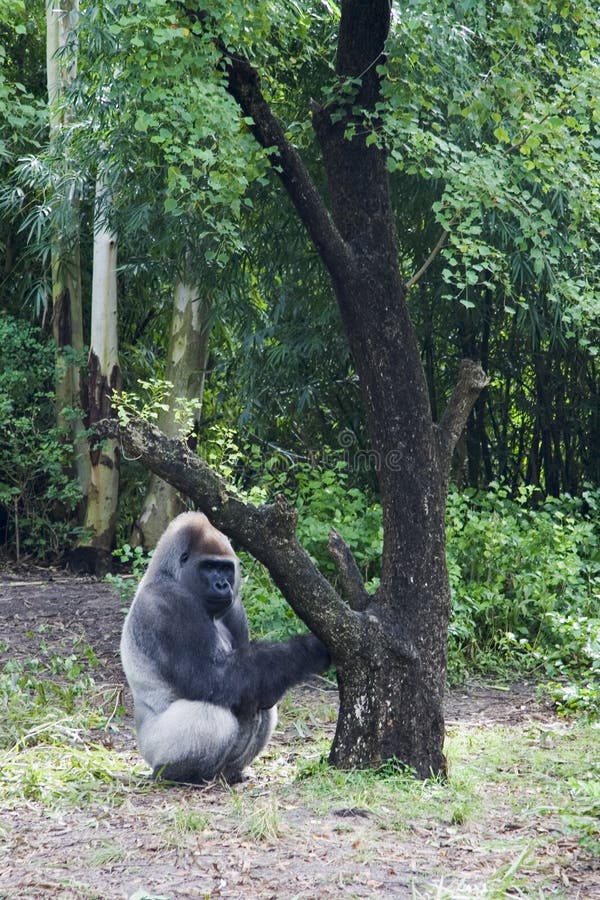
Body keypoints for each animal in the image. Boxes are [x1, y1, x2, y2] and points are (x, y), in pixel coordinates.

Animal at [120, 511, 330, 784]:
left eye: (225, 568)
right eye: (209, 567)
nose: (221, 585)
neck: (167, 573)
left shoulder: (235, 607)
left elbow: (253, 680)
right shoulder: (170, 604)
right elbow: (214, 679)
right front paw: (308, 650)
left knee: (263, 707)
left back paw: (232, 773)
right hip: (152, 749)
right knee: (212, 716)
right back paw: (178, 773)